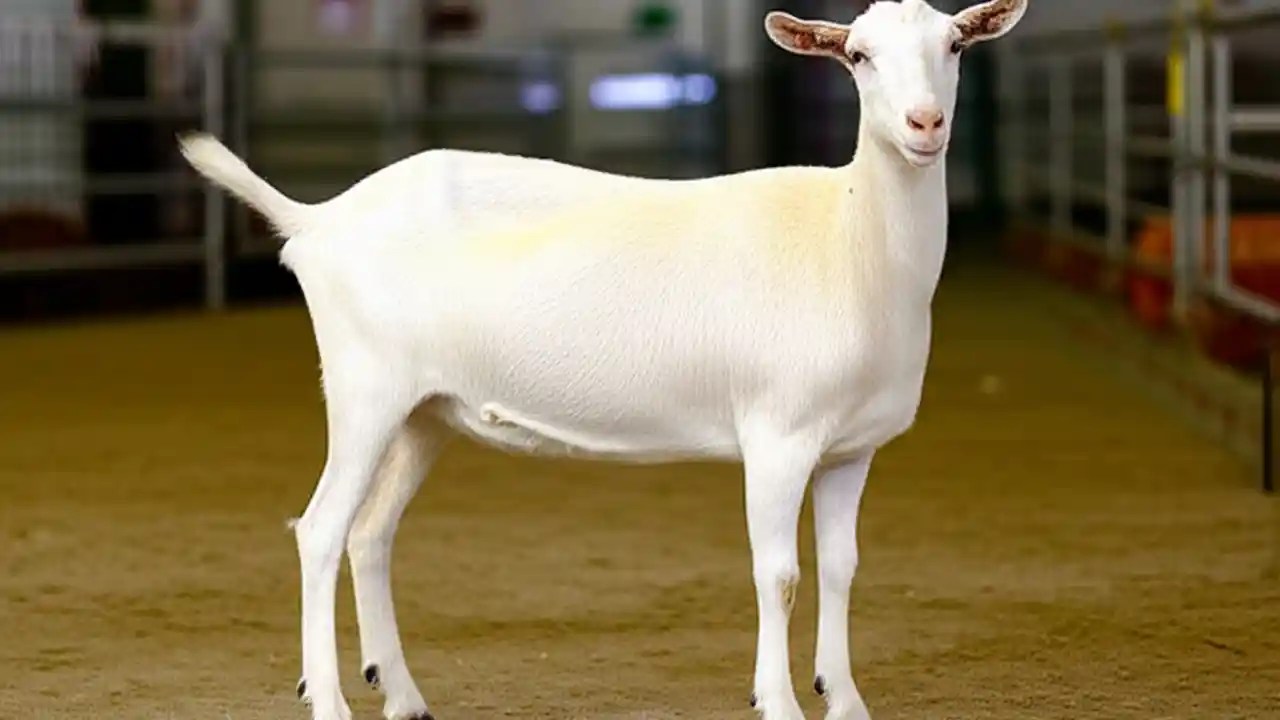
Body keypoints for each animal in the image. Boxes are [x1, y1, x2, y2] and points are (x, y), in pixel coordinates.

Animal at [179, 2, 1028, 718]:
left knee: (370, 533)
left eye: (955, 46)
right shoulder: (777, 436)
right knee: (321, 531)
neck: (849, 239)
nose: (926, 122)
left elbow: (842, 567)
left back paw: (404, 695)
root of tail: (317, 220)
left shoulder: (851, 448)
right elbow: (780, 576)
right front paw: (779, 702)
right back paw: (328, 700)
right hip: (365, 389)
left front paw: (845, 699)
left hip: (423, 414)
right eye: (857, 55)